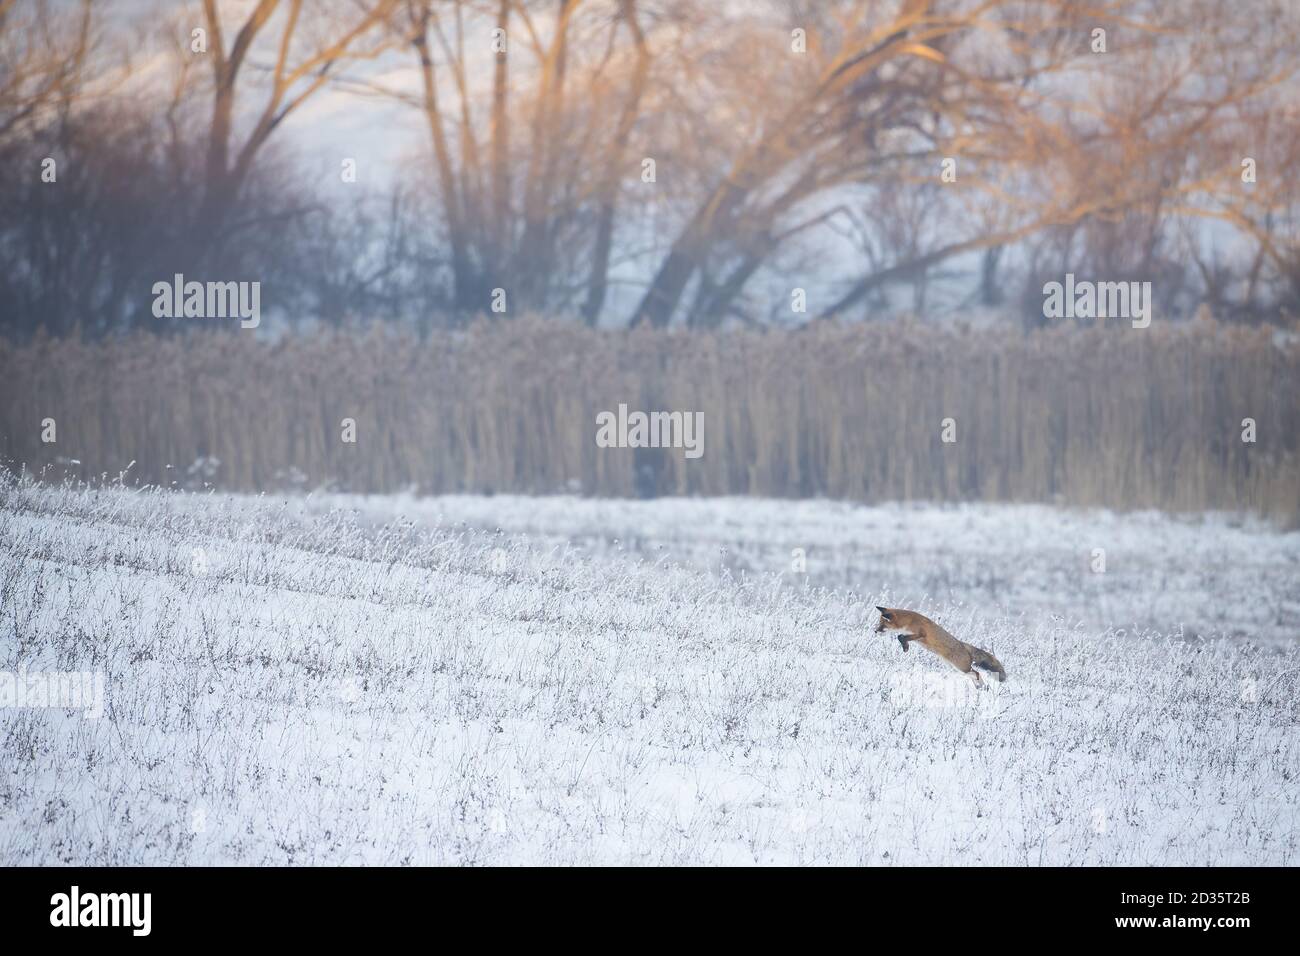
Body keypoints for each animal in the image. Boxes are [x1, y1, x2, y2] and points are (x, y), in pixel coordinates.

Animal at [874, 606, 1006, 687]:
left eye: (881, 624)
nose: (875, 631)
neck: (909, 622)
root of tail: (964, 646)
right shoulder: (912, 634)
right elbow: (900, 636)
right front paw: (905, 647)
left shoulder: (921, 634)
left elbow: (901, 637)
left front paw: (905, 647)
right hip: (957, 669)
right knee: (975, 675)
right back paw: (982, 688)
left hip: (961, 668)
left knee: (977, 673)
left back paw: (983, 687)